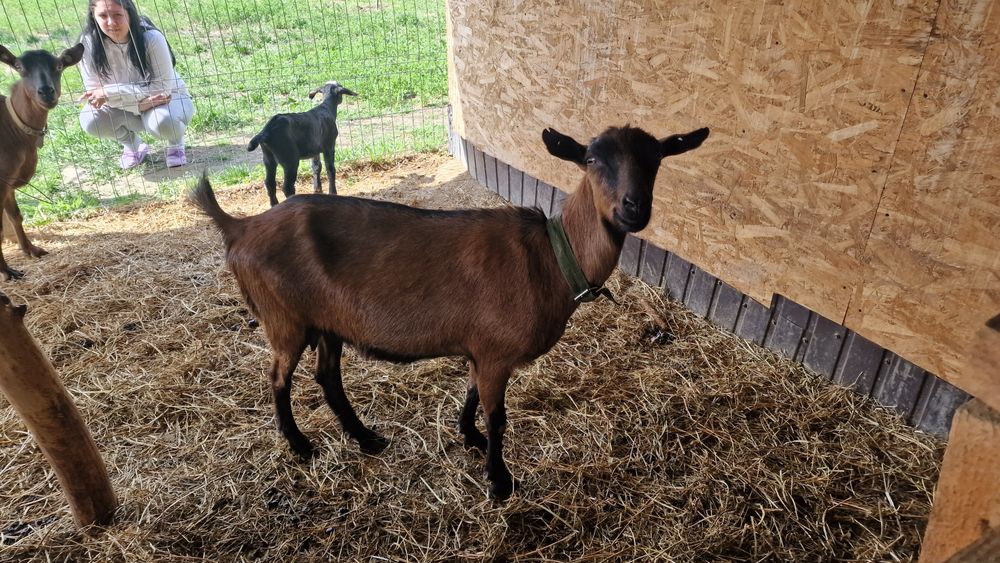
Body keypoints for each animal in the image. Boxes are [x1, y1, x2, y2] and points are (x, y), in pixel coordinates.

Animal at [0, 43, 84, 281]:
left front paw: (31, 250)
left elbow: (16, 216)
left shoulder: (8, 181)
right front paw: (7, 272)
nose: (46, 92)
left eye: (59, 65)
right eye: (19, 67)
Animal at [192, 124, 710, 499]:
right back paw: (301, 445)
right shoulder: (497, 353)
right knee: (278, 378)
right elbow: (498, 415)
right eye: (591, 159)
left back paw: (366, 438)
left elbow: (472, 394)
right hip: (286, 319)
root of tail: (239, 228)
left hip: (327, 322)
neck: (551, 260)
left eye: (656, 159)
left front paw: (470, 439)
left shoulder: (481, 349)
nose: (633, 208)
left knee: (327, 377)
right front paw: (499, 479)